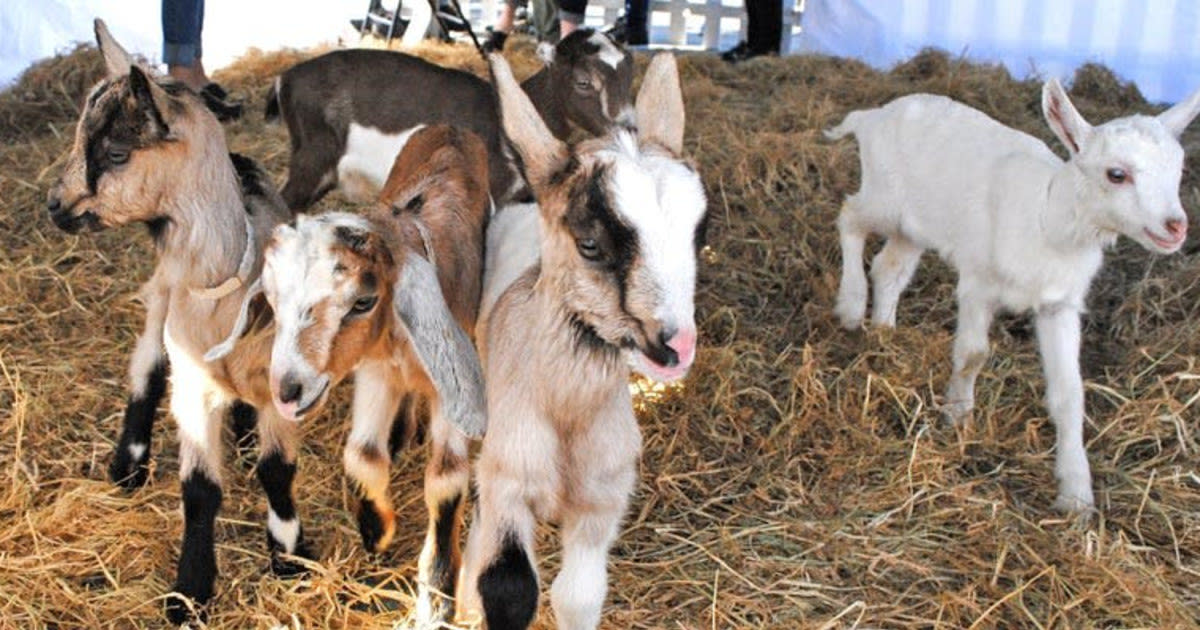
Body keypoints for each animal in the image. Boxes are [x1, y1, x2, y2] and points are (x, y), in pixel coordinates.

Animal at [256, 124, 488, 622]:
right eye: (271, 296)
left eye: (363, 301)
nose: (287, 389)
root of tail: (450, 126)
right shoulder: (376, 371)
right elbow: (362, 455)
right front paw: (375, 531)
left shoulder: (448, 382)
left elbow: (446, 478)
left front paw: (438, 594)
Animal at [454, 53, 708, 630]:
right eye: (590, 244)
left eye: (698, 236)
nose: (675, 347)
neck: (566, 412)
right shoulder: (511, 475)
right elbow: (508, 587)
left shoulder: (602, 500)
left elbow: (578, 595)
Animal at [826, 79, 1200, 512]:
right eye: (1117, 174)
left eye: (1179, 169)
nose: (1175, 227)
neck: (1046, 222)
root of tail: (871, 115)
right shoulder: (978, 282)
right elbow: (972, 355)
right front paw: (957, 418)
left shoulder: (1060, 305)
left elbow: (1070, 393)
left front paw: (1076, 494)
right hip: (883, 195)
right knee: (850, 216)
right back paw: (851, 305)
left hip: (914, 225)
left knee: (890, 268)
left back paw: (885, 332)